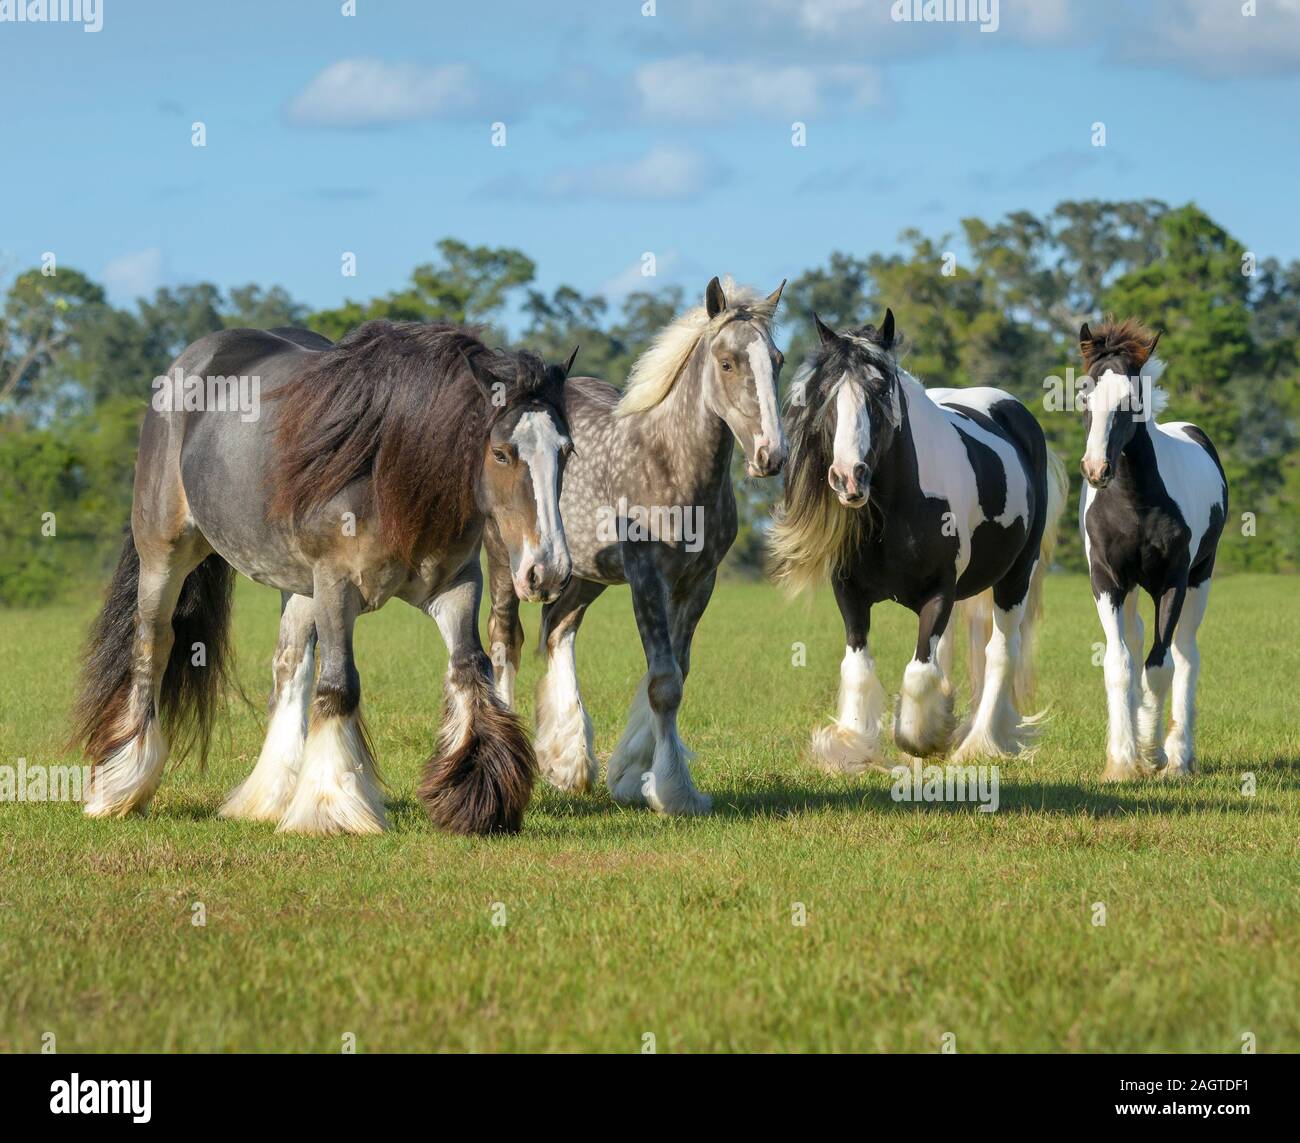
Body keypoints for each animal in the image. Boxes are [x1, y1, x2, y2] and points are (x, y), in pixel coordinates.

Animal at [71, 320, 576, 836]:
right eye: (502, 453)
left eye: (566, 451)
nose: (547, 571)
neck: (388, 469)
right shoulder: (336, 584)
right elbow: (339, 684)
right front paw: (333, 807)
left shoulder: (455, 586)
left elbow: (470, 669)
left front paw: (478, 797)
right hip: (164, 556)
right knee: (152, 648)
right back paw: (121, 787)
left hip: (296, 586)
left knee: (289, 664)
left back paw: (270, 795)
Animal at [483, 276, 788, 816]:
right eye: (727, 362)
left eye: (778, 360)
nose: (770, 455)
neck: (669, 461)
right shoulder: (647, 579)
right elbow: (663, 682)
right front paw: (673, 791)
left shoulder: (698, 583)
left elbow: (676, 673)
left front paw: (633, 773)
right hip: (510, 565)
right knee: (505, 642)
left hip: (582, 575)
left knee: (559, 630)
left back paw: (569, 763)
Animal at [770, 310, 1068, 771]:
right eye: (825, 394)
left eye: (880, 389)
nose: (848, 477)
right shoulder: (849, 592)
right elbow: (860, 666)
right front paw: (853, 744)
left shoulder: (939, 590)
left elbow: (919, 671)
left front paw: (922, 738)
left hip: (1016, 576)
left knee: (1001, 651)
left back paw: (982, 741)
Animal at [1076, 319, 1227, 781]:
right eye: (1083, 393)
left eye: (1130, 400)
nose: (1095, 470)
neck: (1134, 503)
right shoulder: (1107, 581)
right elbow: (1120, 664)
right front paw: (1122, 761)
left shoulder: (1172, 581)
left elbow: (1161, 667)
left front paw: (1152, 752)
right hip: (1130, 590)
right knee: (1137, 640)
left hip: (1200, 579)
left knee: (1186, 655)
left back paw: (1178, 757)